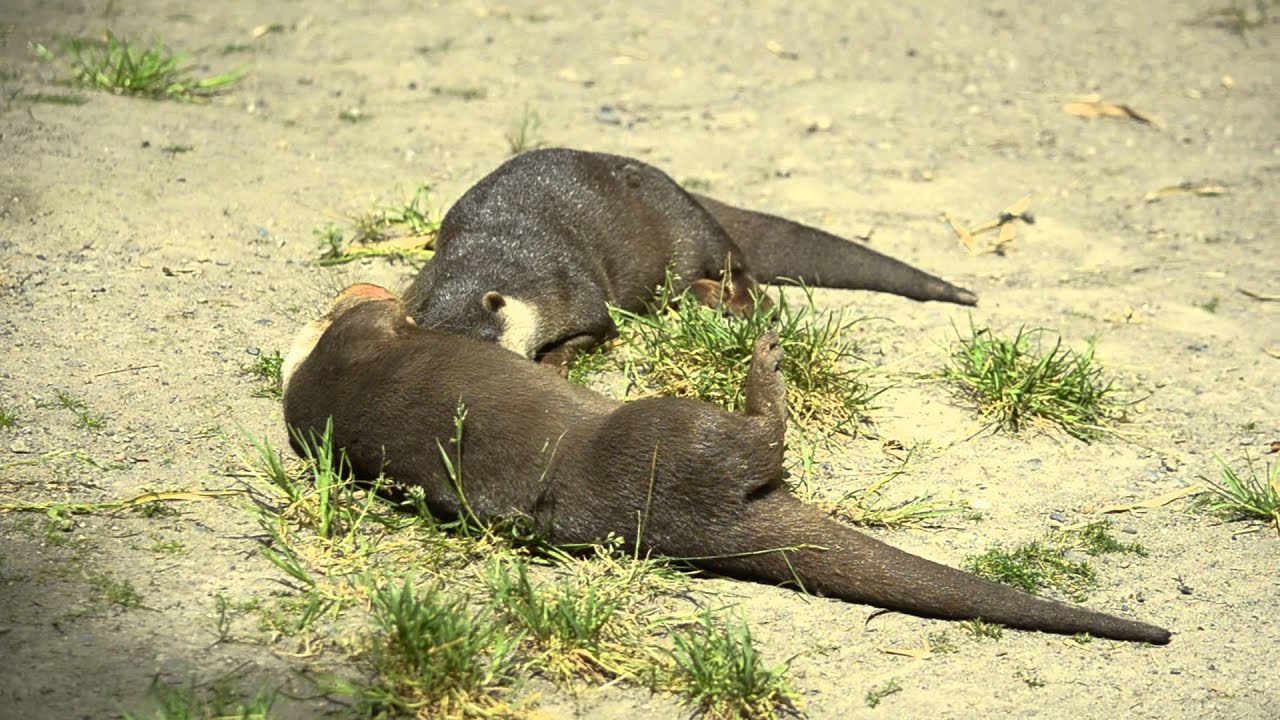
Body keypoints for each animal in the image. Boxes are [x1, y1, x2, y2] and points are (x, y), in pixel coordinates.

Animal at [403, 148, 977, 367]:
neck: (499, 253)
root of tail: (684, 189)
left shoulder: (572, 291)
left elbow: (594, 332)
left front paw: (555, 363)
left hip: (690, 228)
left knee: (746, 273)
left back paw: (725, 302)